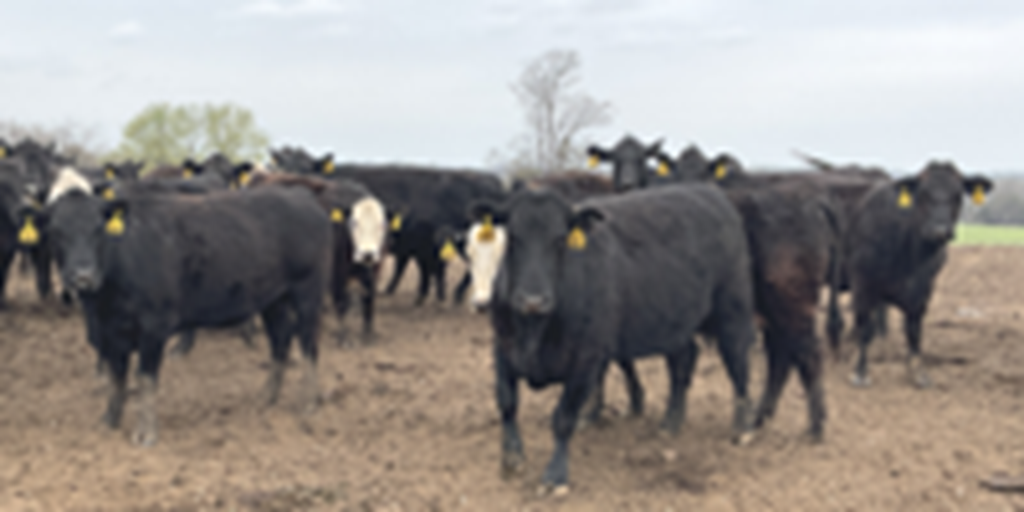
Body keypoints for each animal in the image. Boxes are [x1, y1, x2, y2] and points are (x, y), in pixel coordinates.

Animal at [42, 170, 332, 446]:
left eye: (99, 228)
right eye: (56, 232)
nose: (83, 276)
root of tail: (302, 197)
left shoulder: (154, 327)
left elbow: (145, 378)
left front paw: (146, 433)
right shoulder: (111, 332)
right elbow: (117, 377)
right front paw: (109, 420)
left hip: (308, 293)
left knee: (308, 343)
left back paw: (309, 402)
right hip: (273, 299)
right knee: (280, 338)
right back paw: (266, 397)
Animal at [476, 186, 756, 490]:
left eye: (560, 239)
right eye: (513, 238)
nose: (533, 300)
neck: (534, 330)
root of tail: (710, 192)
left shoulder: (586, 360)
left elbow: (563, 418)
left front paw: (555, 474)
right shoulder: (503, 347)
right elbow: (506, 402)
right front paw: (511, 457)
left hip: (733, 310)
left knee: (738, 363)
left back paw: (742, 426)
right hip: (675, 325)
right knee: (682, 363)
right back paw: (671, 421)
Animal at [844, 161, 992, 388]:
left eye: (957, 195)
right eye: (923, 194)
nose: (940, 230)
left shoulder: (922, 290)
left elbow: (914, 331)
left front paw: (918, 373)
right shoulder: (863, 284)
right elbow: (865, 328)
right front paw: (860, 372)